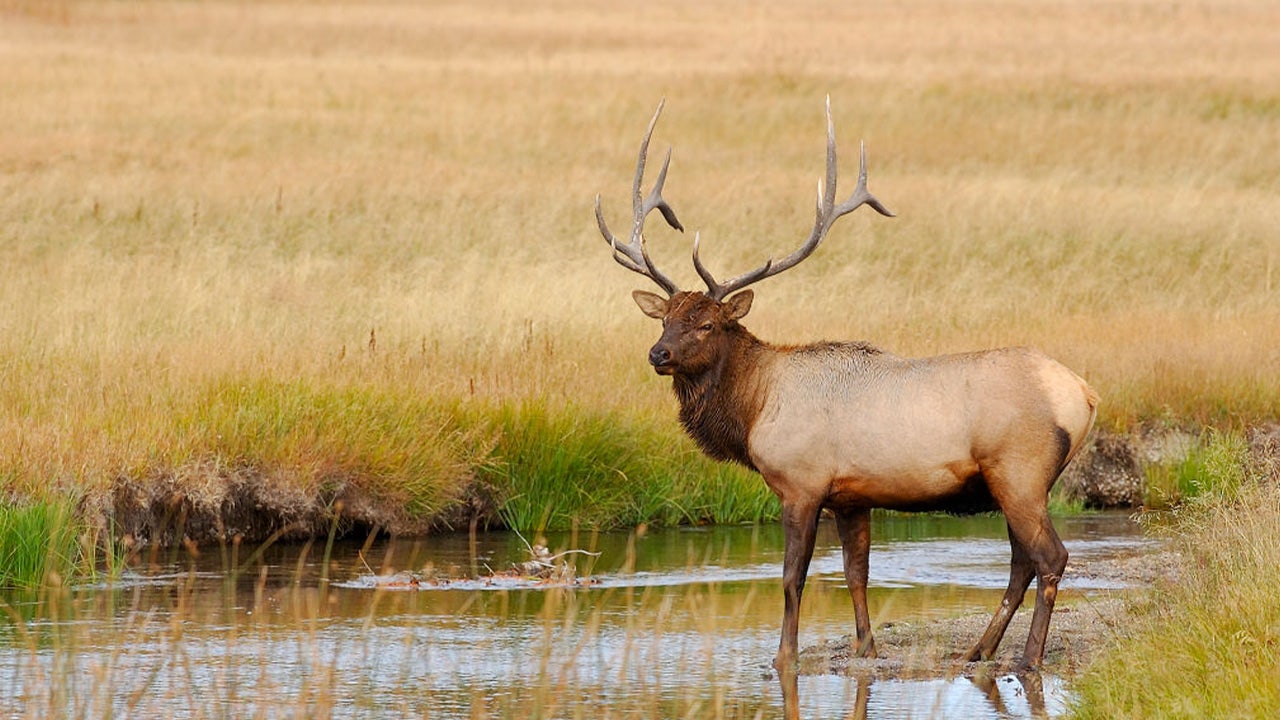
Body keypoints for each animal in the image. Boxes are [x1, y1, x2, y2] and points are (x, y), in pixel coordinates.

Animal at [594, 98, 1099, 673]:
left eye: (707, 324)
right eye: (665, 319)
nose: (658, 354)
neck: (755, 407)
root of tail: (1085, 394)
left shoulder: (801, 484)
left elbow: (792, 577)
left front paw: (783, 655)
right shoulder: (852, 497)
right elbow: (856, 574)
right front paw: (866, 645)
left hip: (1020, 469)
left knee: (1050, 557)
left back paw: (1028, 657)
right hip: (1017, 481)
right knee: (1022, 562)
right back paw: (978, 649)